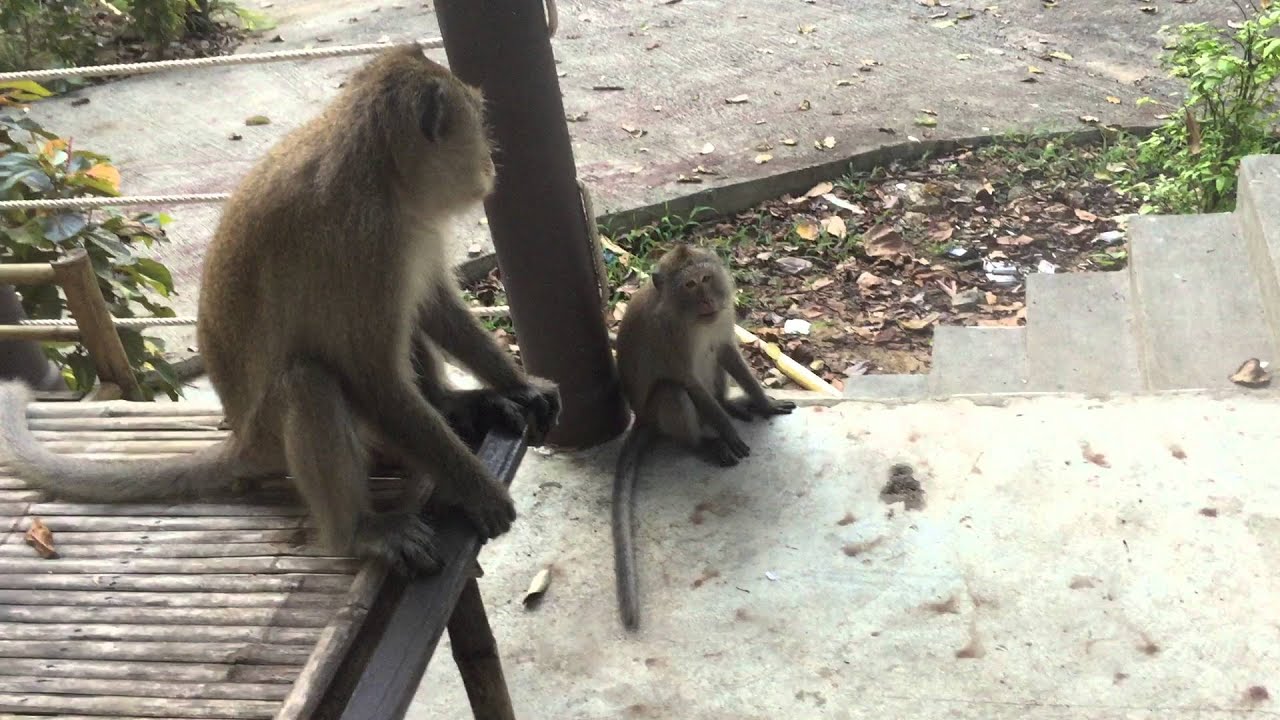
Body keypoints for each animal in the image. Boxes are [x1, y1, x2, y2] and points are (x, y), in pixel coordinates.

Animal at [0, 44, 560, 576]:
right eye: (477, 127)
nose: (490, 165)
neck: (377, 171)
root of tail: (244, 439)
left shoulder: (409, 233)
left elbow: (432, 306)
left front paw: (516, 385)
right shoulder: (366, 242)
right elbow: (372, 379)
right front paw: (479, 491)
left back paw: (452, 405)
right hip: (280, 432)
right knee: (310, 381)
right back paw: (357, 532)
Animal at [611, 244, 795, 630]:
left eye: (707, 279)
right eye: (691, 285)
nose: (708, 299)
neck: (690, 318)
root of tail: (642, 420)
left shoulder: (722, 319)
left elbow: (727, 352)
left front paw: (764, 403)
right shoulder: (670, 337)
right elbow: (688, 383)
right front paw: (727, 433)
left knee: (714, 362)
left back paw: (729, 404)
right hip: (658, 413)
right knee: (673, 392)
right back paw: (703, 444)